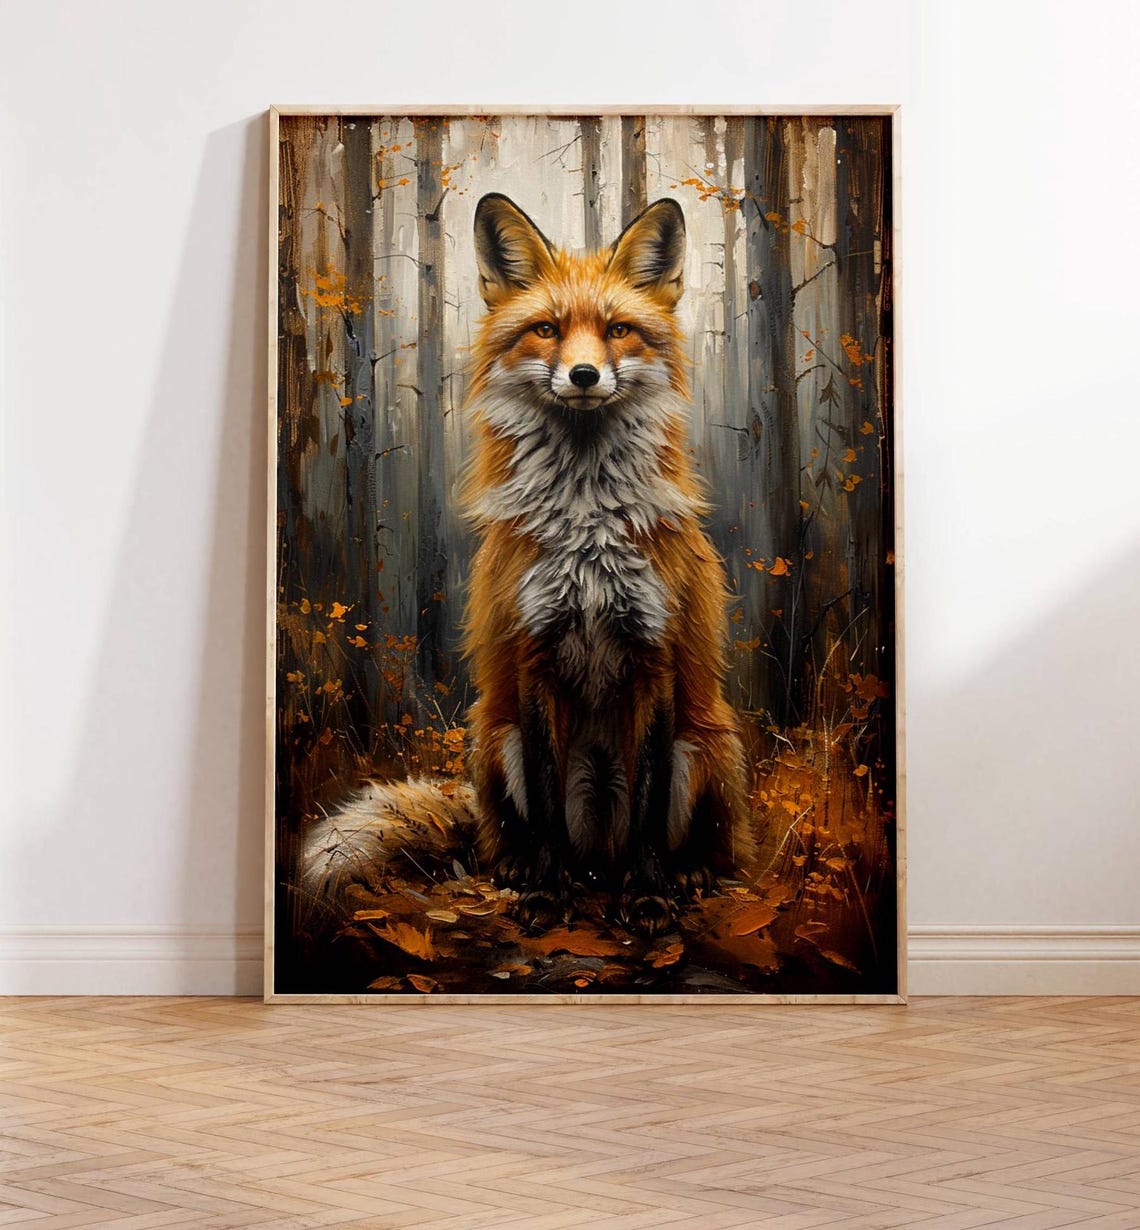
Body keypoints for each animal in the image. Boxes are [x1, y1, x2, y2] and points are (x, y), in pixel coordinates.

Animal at [462, 192, 752, 938]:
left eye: (619, 330)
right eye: (545, 330)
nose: (585, 375)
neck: (587, 524)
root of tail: (600, 850)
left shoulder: (655, 652)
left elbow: (650, 811)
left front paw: (649, 897)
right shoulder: (534, 654)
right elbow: (544, 812)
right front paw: (544, 892)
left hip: (704, 747)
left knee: (704, 840)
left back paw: (690, 873)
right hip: (496, 736)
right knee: (521, 829)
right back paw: (518, 868)